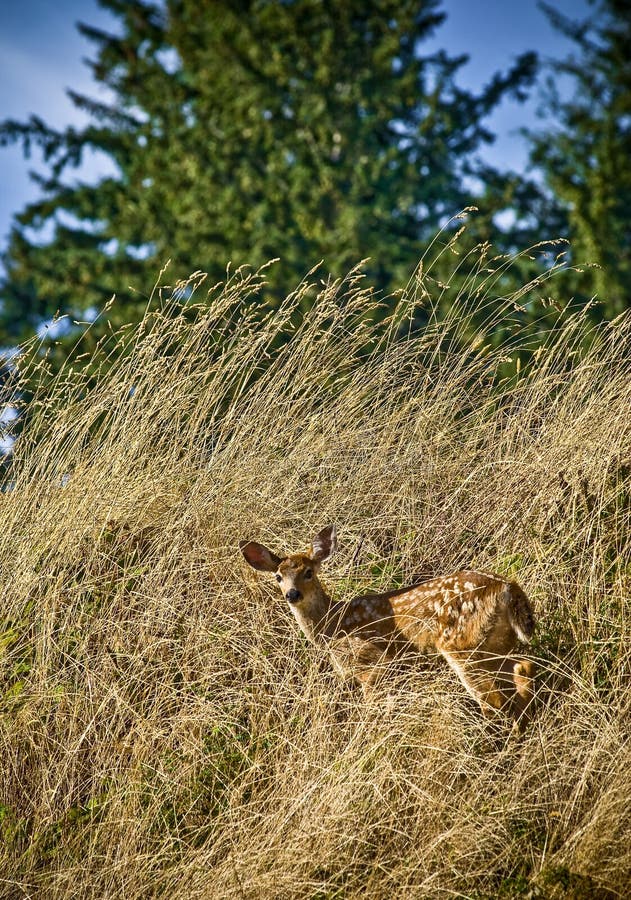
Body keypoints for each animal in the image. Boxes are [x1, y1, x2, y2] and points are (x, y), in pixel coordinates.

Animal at [240, 525, 536, 730]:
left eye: (309, 572)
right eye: (278, 577)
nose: (292, 594)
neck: (333, 626)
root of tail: (508, 588)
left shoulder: (372, 662)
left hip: (460, 643)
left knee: (493, 699)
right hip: (493, 641)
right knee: (522, 667)